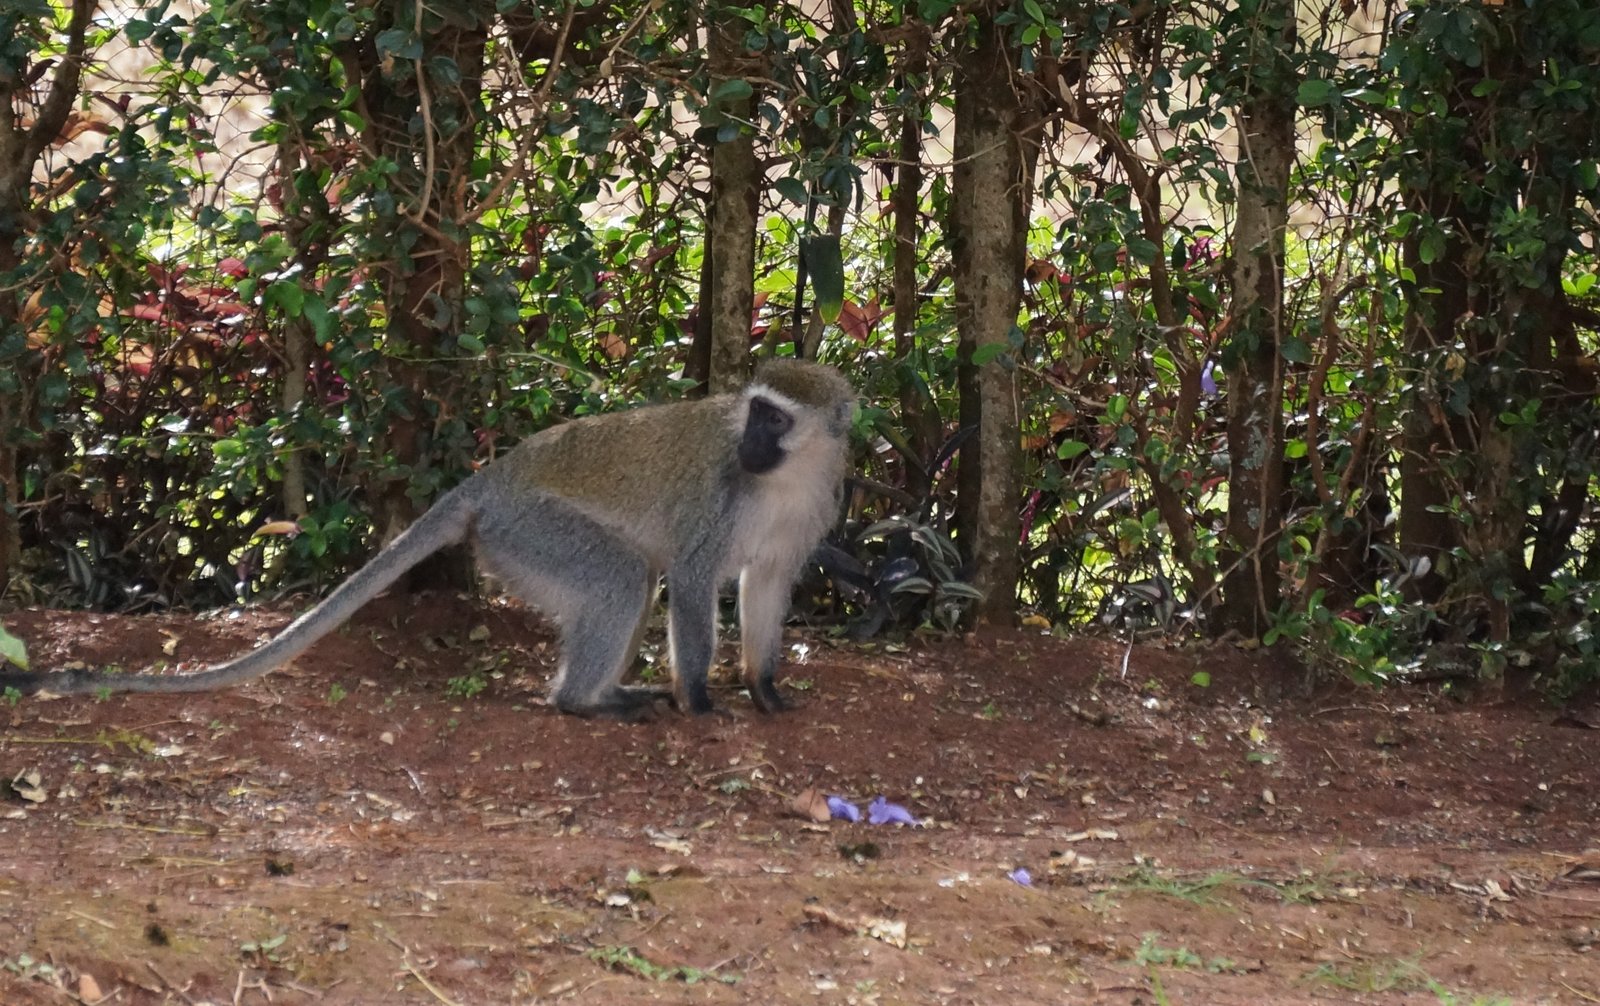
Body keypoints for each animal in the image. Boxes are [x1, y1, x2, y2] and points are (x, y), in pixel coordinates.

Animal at [0, 359, 857, 720]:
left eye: (774, 419)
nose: (747, 442)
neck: (781, 479)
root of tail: (495, 476)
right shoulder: (713, 506)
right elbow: (690, 578)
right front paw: (703, 699)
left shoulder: (813, 508)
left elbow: (765, 587)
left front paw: (764, 687)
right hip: (526, 531)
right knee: (623, 577)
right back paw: (582, 704)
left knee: (625, 582)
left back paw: (603, 694)